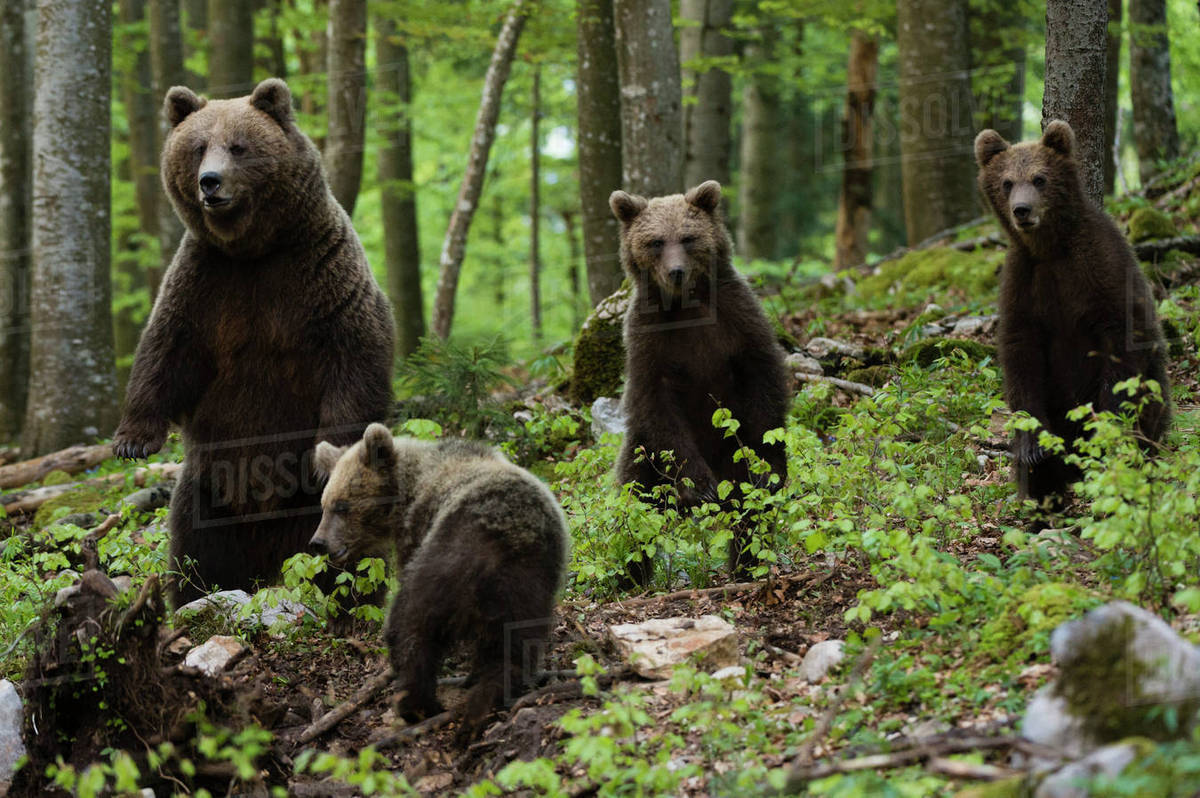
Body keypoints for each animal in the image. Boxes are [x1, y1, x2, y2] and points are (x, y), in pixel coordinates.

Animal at [112, 78, 395, 608]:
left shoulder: (320, 274)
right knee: (195, 548)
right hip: (209, 488)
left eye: (239, 146)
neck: (253, 251)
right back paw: (191, 596)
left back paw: (349, 599)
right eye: (198, 146)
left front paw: (328, 454)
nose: (210, 182)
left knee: (350, 553)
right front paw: (132, 441)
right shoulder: (206, 285)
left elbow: (354, 354)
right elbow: (166, 350)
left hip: (320, 511)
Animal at [310, 423, 569, 738]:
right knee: (515, 642)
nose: (319, 542)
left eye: (342, 505)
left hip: (444, 558)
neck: (408, 491)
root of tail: (501, 541)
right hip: (530, 578)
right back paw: (493, 688)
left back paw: (417, 703)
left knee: (412, 623)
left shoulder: (417, 532)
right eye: (325, 504)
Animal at [608, 180, 790, 580]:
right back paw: (632, 575)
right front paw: (701, 486)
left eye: (688, 237)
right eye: (656, 241)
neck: (684, 306)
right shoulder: (648, 339)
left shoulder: (737, 319)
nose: (676, 271)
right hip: (642, 455)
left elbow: (764, 379)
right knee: (634, 507)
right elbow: (654, 398)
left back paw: (746, 566)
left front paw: (767, 466)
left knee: (750, 513)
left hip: (730, 454)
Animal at [974, 120, 1170, 514]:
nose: (1022, 210)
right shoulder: (1025, 284)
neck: (1050, 248)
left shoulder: (1101, 270)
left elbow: (1123, 341)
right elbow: (1020, 356)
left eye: (1039, 178)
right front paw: (1032, 448)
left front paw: (1106, 427)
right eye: (1006, 182)